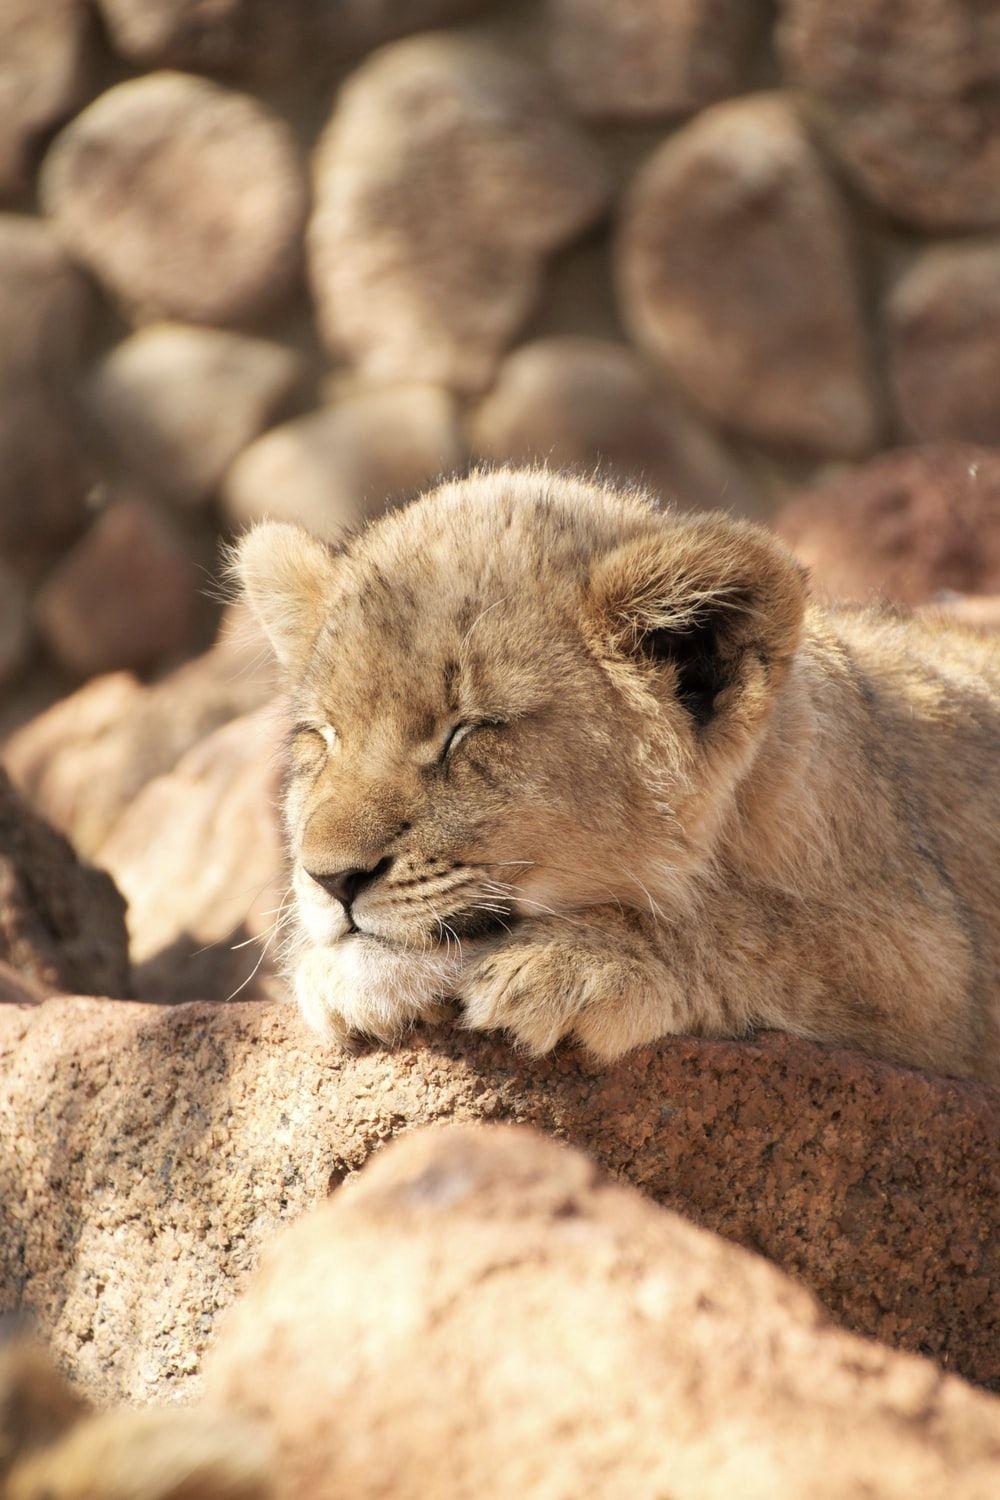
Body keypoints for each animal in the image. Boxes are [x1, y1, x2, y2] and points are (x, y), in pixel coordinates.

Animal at [233, 469, 1000, 1084]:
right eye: (322, 736)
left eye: (469, 729)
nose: (331, 879)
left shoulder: (937, 971)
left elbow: (753, 933)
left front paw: (581, 962)